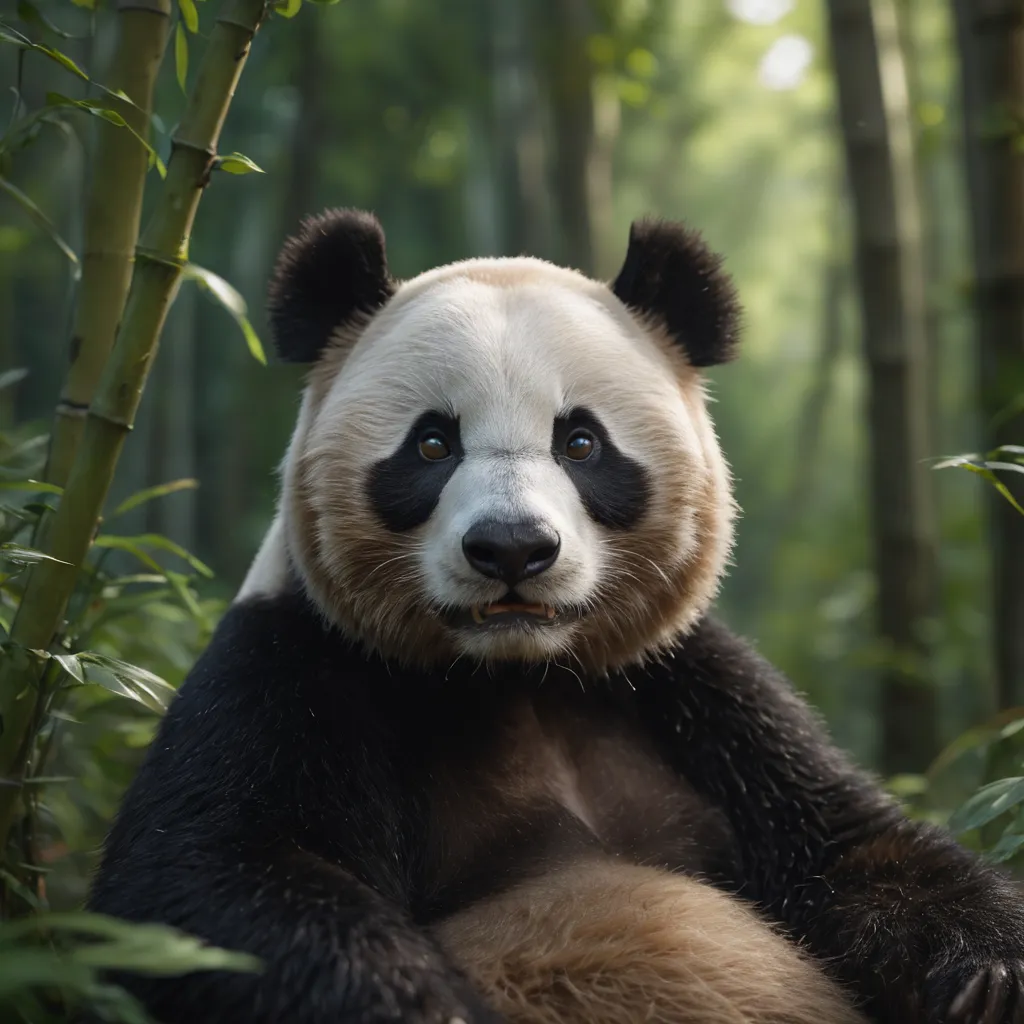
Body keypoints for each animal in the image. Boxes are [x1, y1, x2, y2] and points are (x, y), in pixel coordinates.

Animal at [88, 208, 1024, 1024]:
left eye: (581, 442)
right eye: (432, 443)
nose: (511, 548)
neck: (515, 673)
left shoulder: (690, 689)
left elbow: (847, 842)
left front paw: (990, 975)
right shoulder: (296, 664)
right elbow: (207, 884)